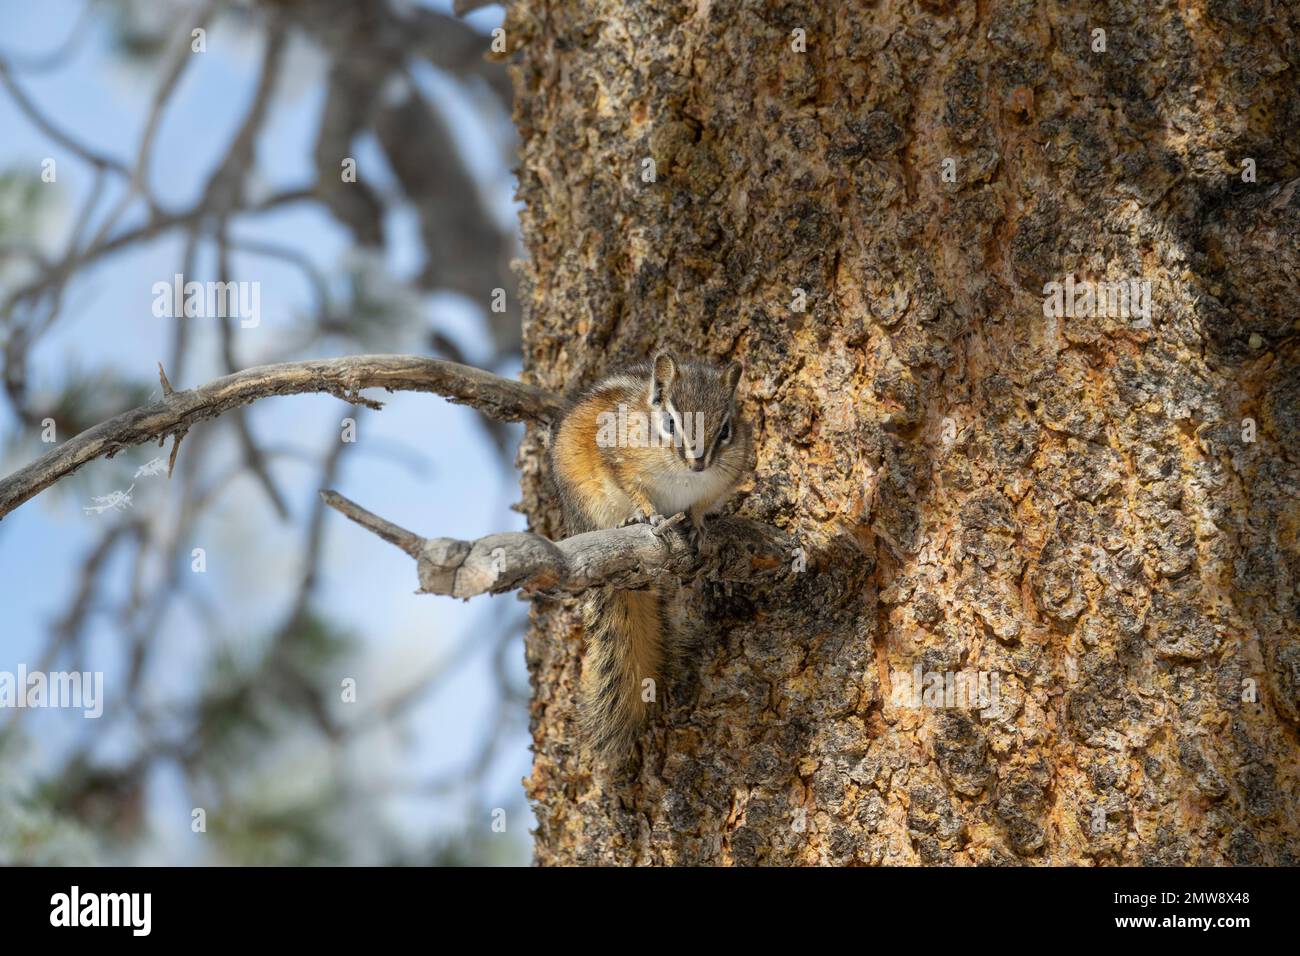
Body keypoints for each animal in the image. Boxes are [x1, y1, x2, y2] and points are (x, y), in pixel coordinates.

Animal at [549, 351, 752, 762]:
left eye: (726, 429)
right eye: (671, 422)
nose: (698, 463)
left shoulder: (723, 478)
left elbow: (701, 507)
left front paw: (698, 525)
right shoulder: (617, 462)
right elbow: (635, 491)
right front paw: (650, 516)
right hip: (586, 500)